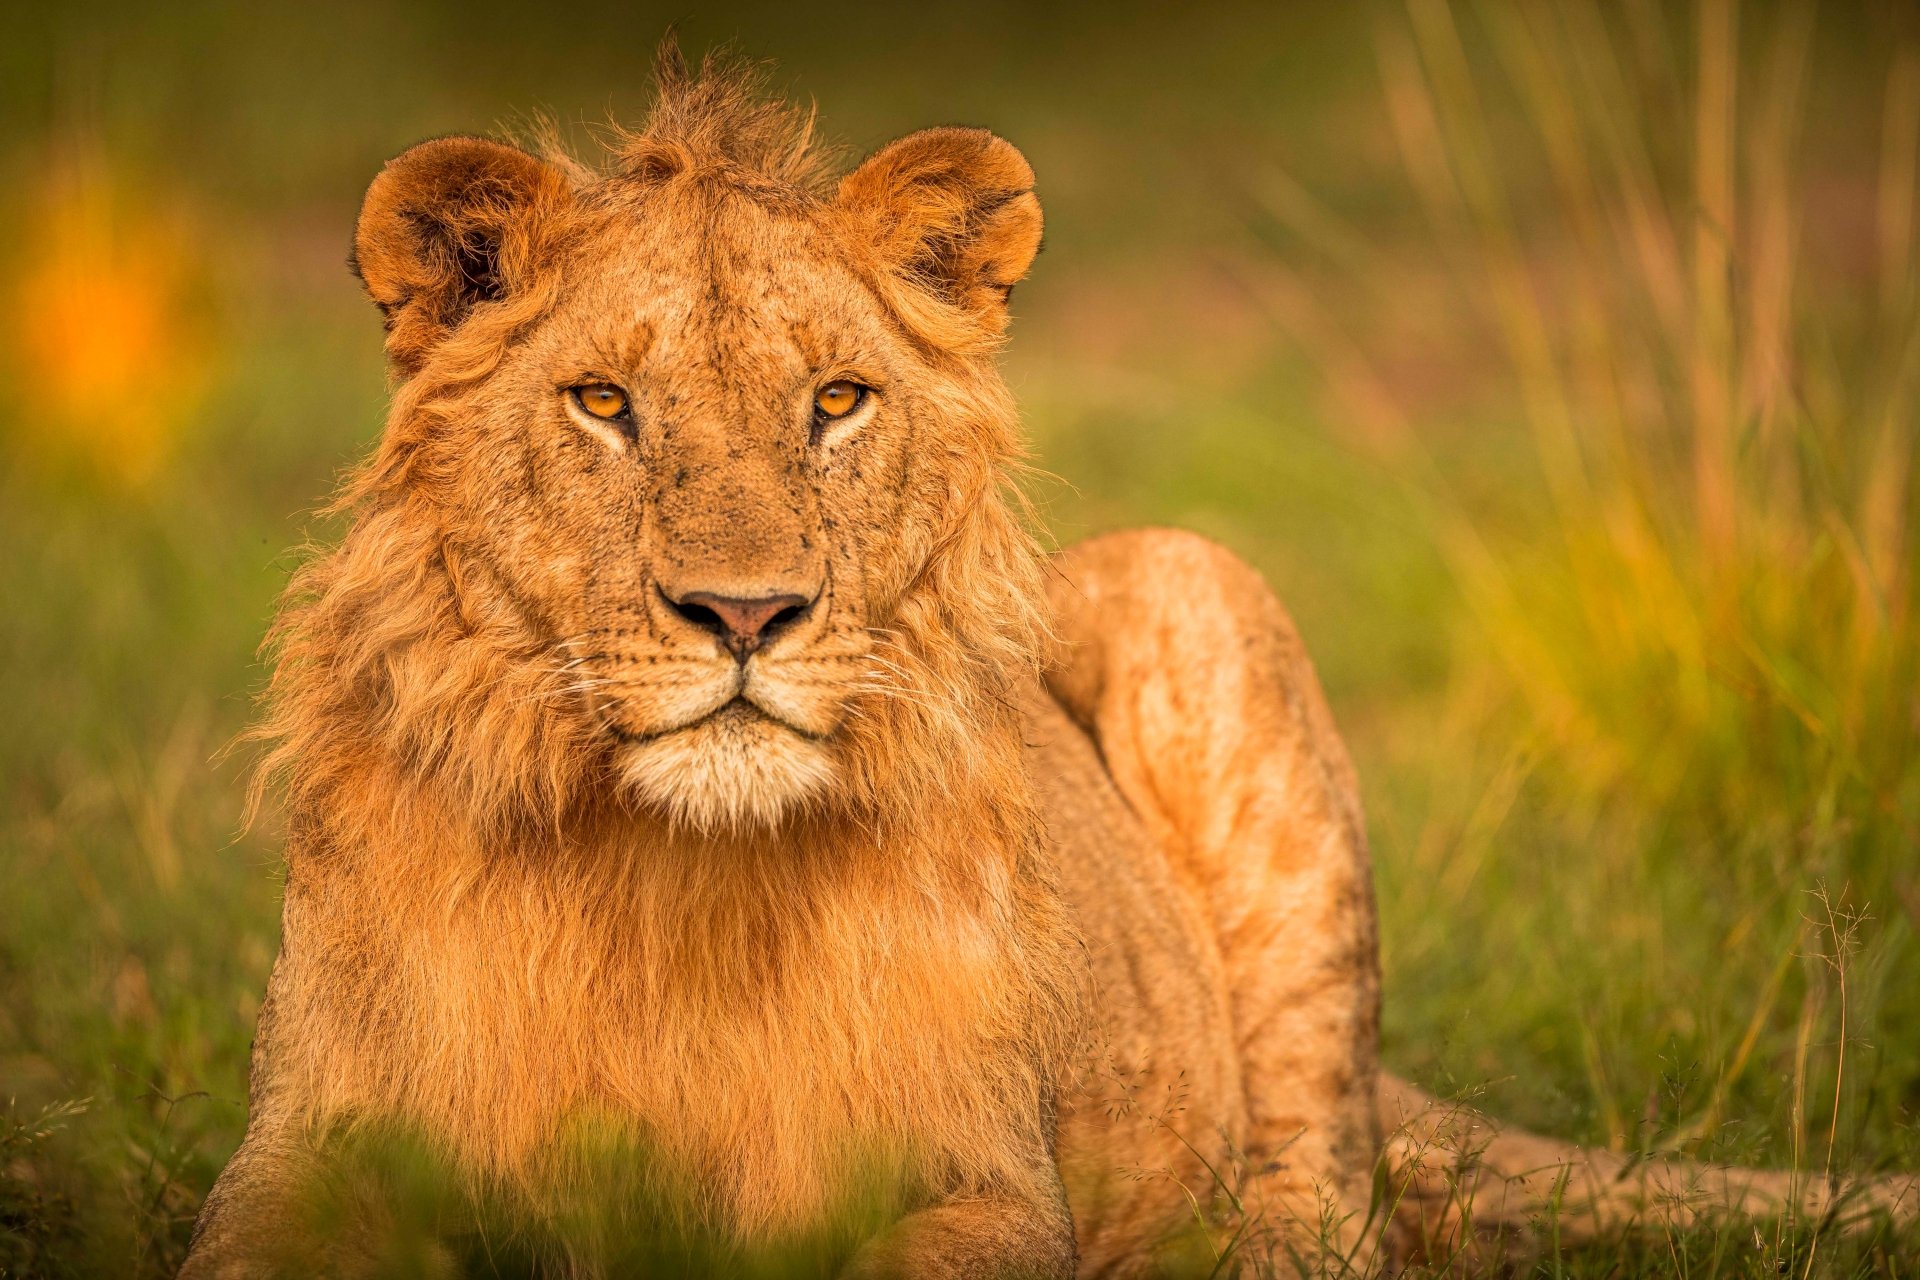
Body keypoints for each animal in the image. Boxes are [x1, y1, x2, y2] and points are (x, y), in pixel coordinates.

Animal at [182, 49, 1915, 1278]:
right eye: (604, 403)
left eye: (837, 401)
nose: (744, 616)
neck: (663, 879)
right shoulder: (297, 1167)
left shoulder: (986, 1180)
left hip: (1194, 590)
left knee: (1325, 1187)